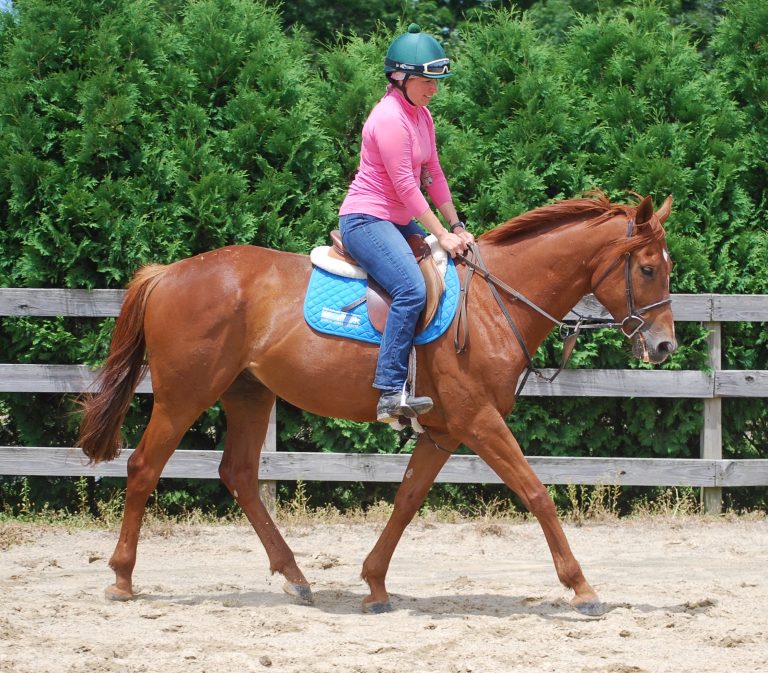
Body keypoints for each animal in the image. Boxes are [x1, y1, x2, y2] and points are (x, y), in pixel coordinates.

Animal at [78, 191, 676, 616]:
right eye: (648, 268)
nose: (665, 345)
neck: (493, 301)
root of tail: (168, 273)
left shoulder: (446, 430)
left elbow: (408, 500)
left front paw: (375, 584)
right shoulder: (479, 421)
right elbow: (536, 492)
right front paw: (582, 587)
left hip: (249, 393)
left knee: (239, 474)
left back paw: (295, 578)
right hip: (185, 396)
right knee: (144, 467)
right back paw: (122, 578)